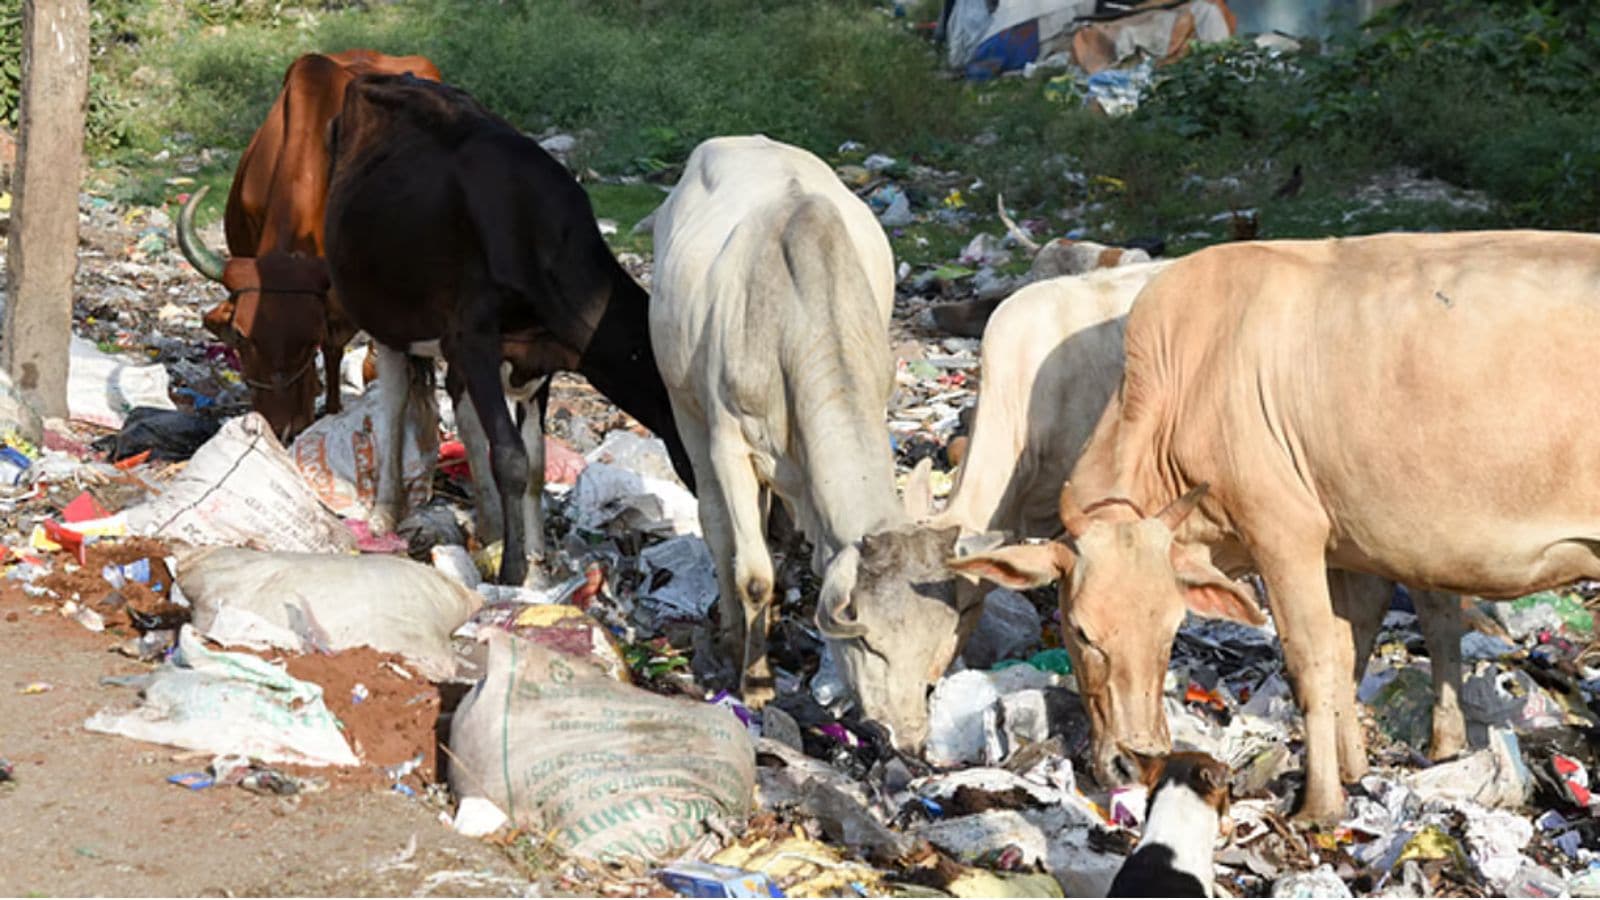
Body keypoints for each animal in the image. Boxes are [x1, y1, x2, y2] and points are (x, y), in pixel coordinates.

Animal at [322, 73, 693, 586]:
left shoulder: (538, 358)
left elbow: (534, 465)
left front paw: (537, 566)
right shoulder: (473, 337)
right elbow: (511, 457)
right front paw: (515, 570)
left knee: (459, 410)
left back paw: (491, 524)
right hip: (382, 310)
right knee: (393, 402)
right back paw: (384, 512)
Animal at [650, 135, 965, 718]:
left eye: (937, 645)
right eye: (869, 643)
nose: (910, 733)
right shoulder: (729, 438)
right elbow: (753, 572)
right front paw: (755, 680)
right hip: (682, 399)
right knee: (716, 522)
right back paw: (733, 632)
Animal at [947, 230, 1600, 820]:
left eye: (1172, 627)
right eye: (1082, 631)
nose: (1131, 760)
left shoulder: (1285, 534)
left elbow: (1311, 662)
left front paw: (1321, 803)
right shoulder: (1342, 542)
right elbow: (1346, 654)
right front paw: (1355, 770)